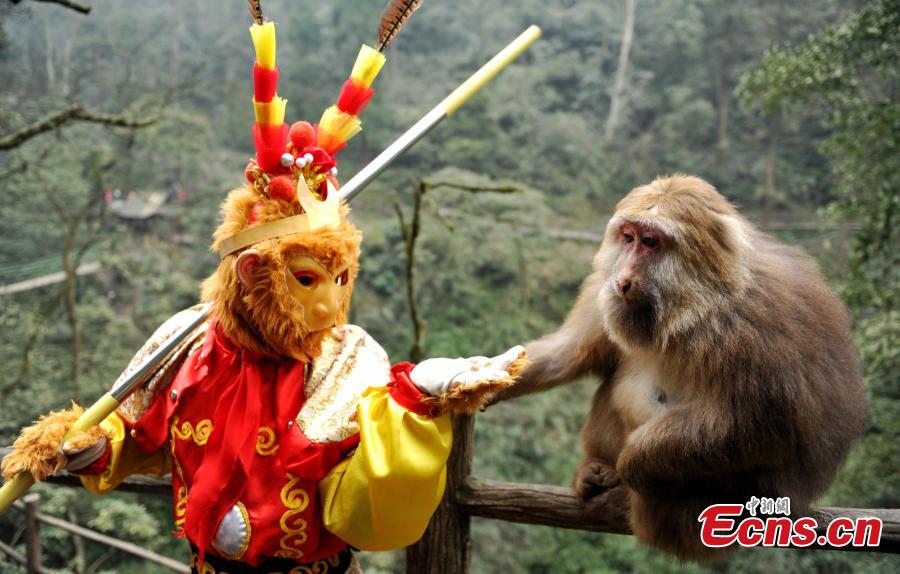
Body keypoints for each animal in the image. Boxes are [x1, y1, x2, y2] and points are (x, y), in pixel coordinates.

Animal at [494, 174, 867, 560]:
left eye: (650, 242)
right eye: (628, 237)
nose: (623, 278)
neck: (690, 306)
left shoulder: (753, 326)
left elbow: (761, 424)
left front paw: (632, 460)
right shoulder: (604, 289)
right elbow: (570, 351)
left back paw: (624, 497)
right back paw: (595, 472)